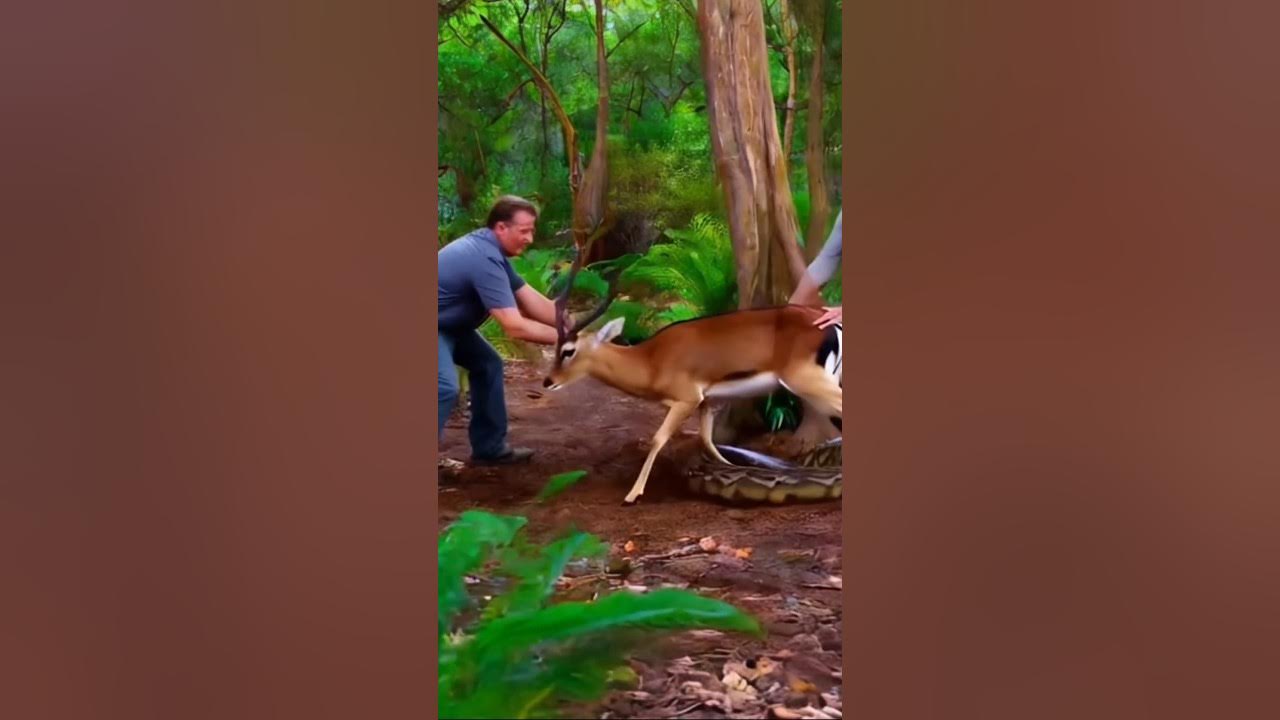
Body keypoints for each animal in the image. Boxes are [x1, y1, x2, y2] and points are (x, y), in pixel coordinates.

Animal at [542, 252, 843, 505]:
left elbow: (658, 438)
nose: (548, 381)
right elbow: (707, 441)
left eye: (569, 350)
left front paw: (632, 494)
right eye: (555, 347)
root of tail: (832, 325)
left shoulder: (687, 398)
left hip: (808, 381)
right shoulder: (707, 401)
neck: (650, 360)